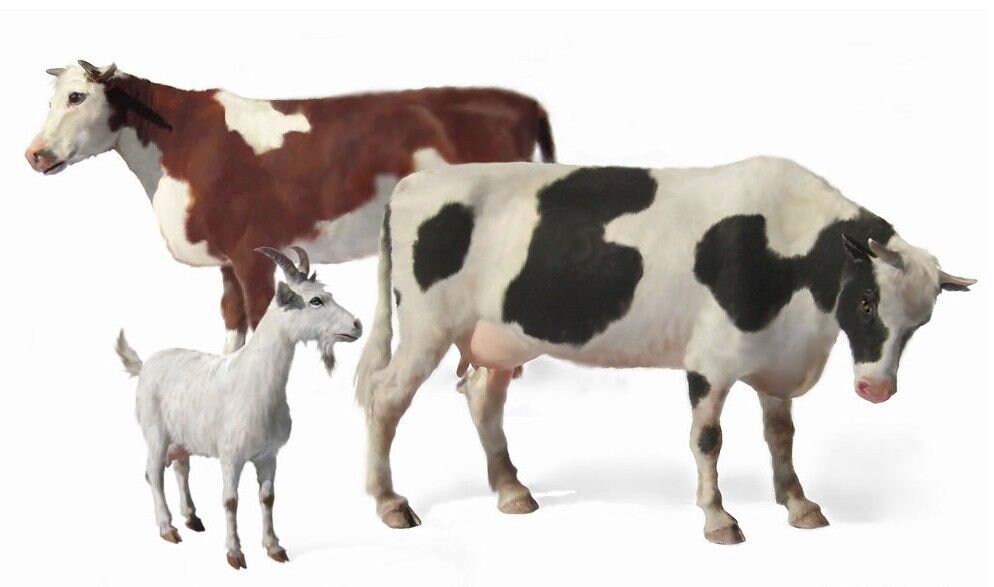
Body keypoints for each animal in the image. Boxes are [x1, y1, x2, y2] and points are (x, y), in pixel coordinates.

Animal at [25, 60, 555, 352]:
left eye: (77, 96)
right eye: (51, 101)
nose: (34, 154)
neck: (179, 146)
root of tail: (520, 102)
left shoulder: (251, 250)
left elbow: (260, 314)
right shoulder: (226, 257)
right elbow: (232, 317)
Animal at [353, 156, 976, 544]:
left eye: (921, 322)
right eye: (867, 302)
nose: (877, 388)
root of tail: (413, 183)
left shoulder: (774, 361)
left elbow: (781, 437)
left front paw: (799, 504)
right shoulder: (712, 360)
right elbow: (708, 440)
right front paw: (718, 518)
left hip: (499, 336)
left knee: (483, 397)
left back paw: (512, 491)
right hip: (427, 326)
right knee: (386, 398)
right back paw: (388, 503)